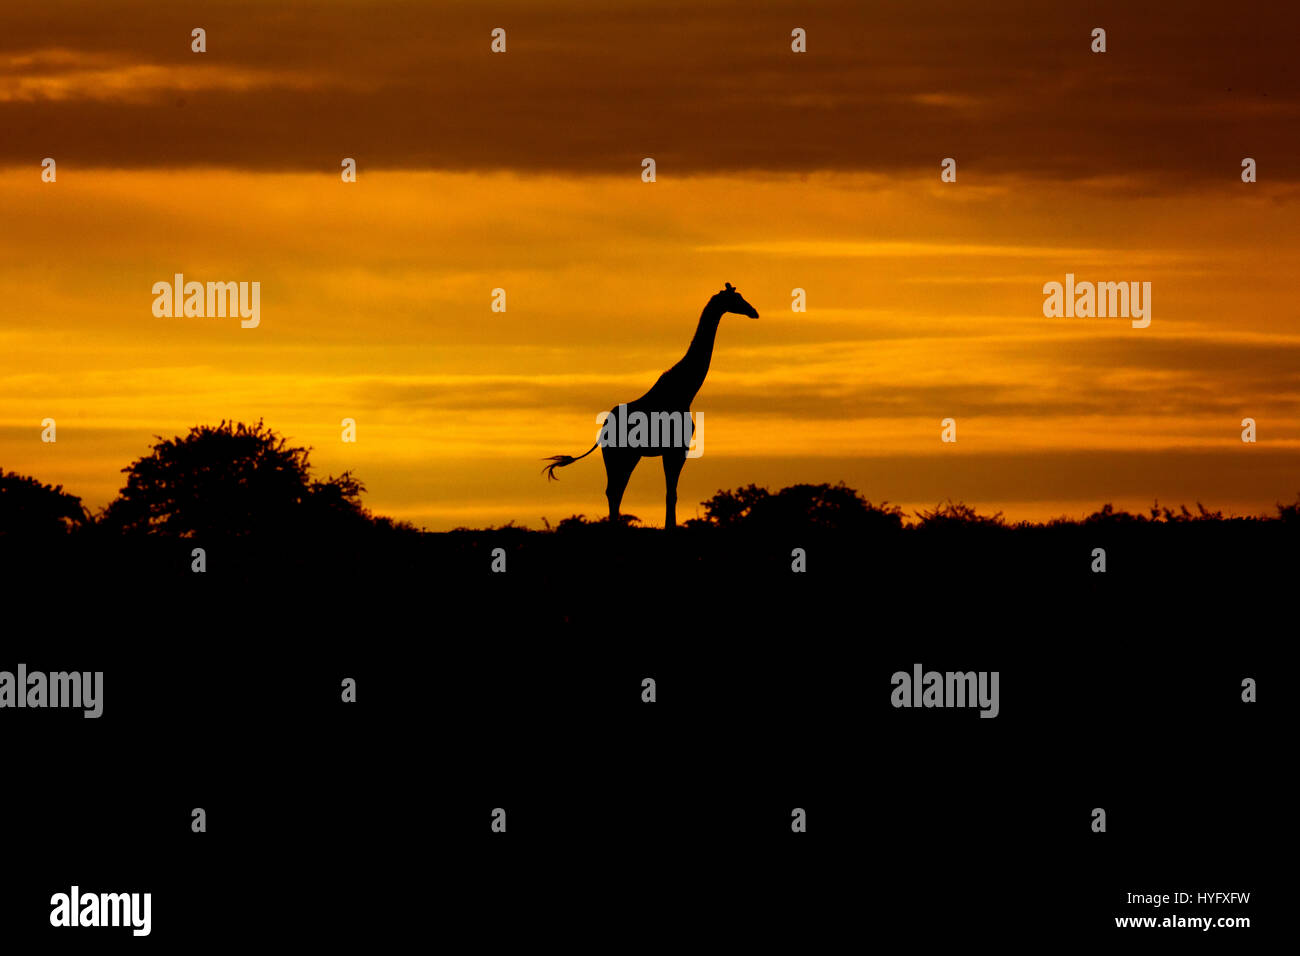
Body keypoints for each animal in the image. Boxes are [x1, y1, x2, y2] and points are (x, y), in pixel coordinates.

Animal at [543, 283, 759, 528]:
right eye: (736, 298)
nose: (754, 312)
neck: (686, 391)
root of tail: (602, 431)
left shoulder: (672, 449)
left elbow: (670, 492)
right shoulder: (678, 448)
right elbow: (671, 493)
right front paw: (670, 527)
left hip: (620, 456)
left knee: (613, 490)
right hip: (621, 454)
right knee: (615, 489)